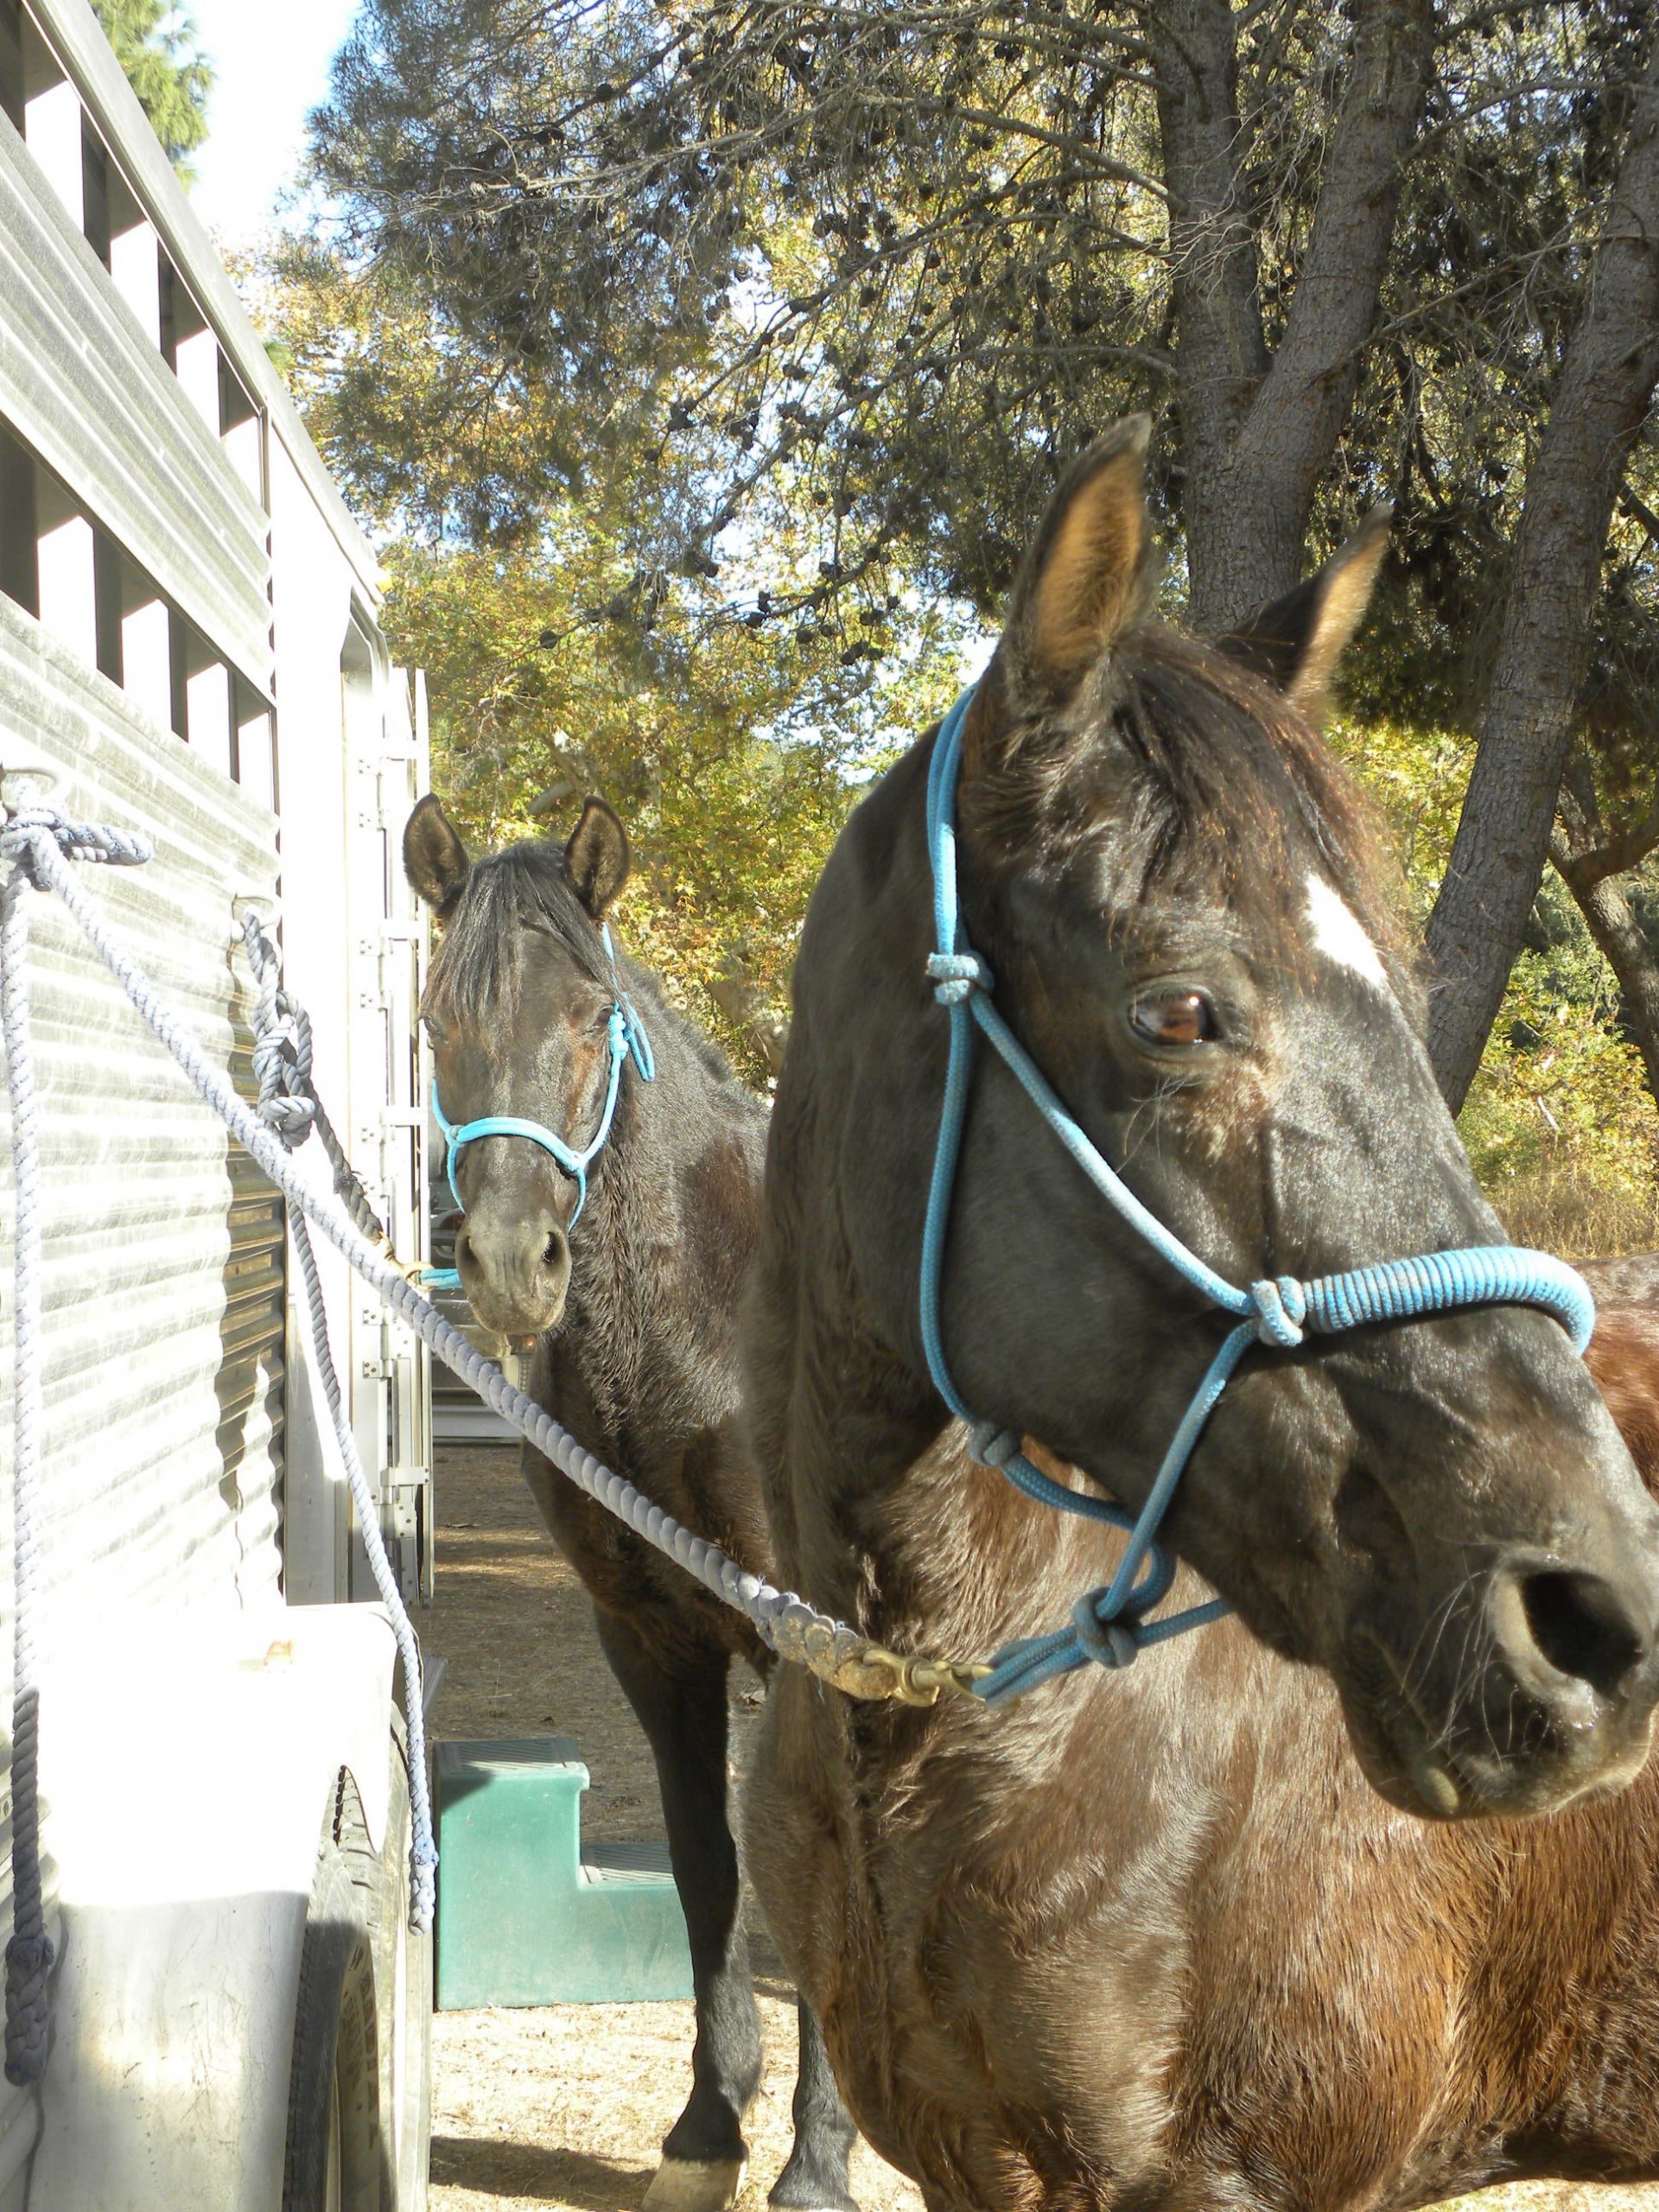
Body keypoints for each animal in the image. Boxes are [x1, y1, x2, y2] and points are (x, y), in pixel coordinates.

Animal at [404, 797, 857, 2212]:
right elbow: (707, 1869)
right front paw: (708, 2131)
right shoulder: (653, 1638)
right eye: (435, 1016)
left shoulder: (815, 1653)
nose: (509, 1263)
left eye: (592, 1013)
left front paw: (818, 2162)